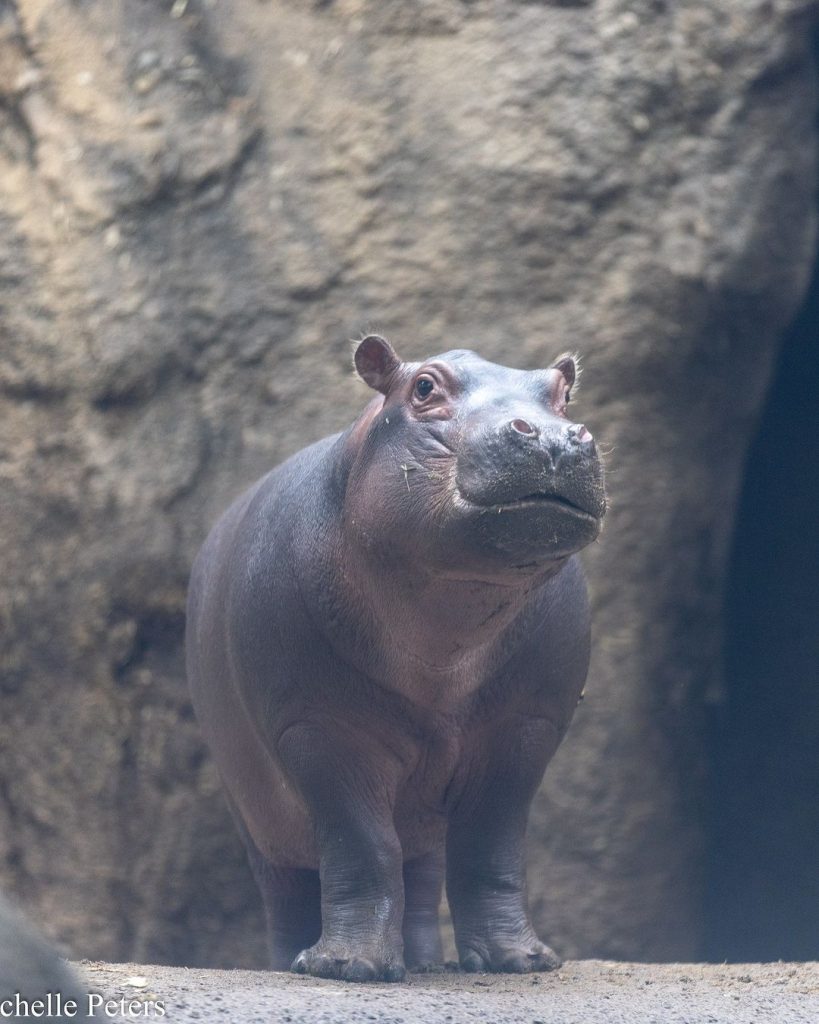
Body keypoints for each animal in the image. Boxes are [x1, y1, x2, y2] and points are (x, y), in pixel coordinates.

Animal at [186, 335, 606, 982]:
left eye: (561, 394)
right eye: (424, 387)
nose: (556, 436)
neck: (446, 639)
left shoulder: (527, 724)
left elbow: (490, 844)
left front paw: (522, 961)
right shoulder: (318, 726)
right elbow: (361, 845)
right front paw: (349, 967)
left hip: (421, 816)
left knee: (422, 875)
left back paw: (427, 963)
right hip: (254, 812)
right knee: (288, 887)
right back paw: (292, 962)